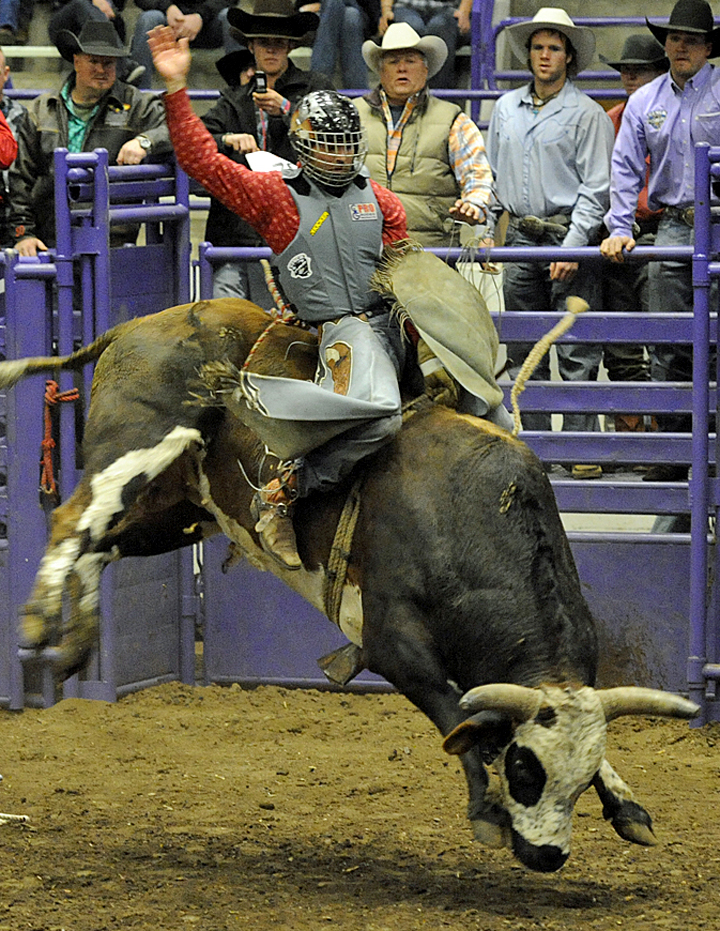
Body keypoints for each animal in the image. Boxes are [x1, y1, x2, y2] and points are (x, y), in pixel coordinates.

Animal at [0, 297, 698, 874]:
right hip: (138, 446)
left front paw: (628, 807)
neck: (468, 524)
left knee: (99, 540)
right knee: (73, 519)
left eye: (575, 784)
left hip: (176, 507)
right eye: (525, 770)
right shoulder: (393, 644)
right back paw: (37, 623)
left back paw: (74, 645)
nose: (548, 856)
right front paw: (487, 813)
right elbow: (455, 716)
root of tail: (137, 326)